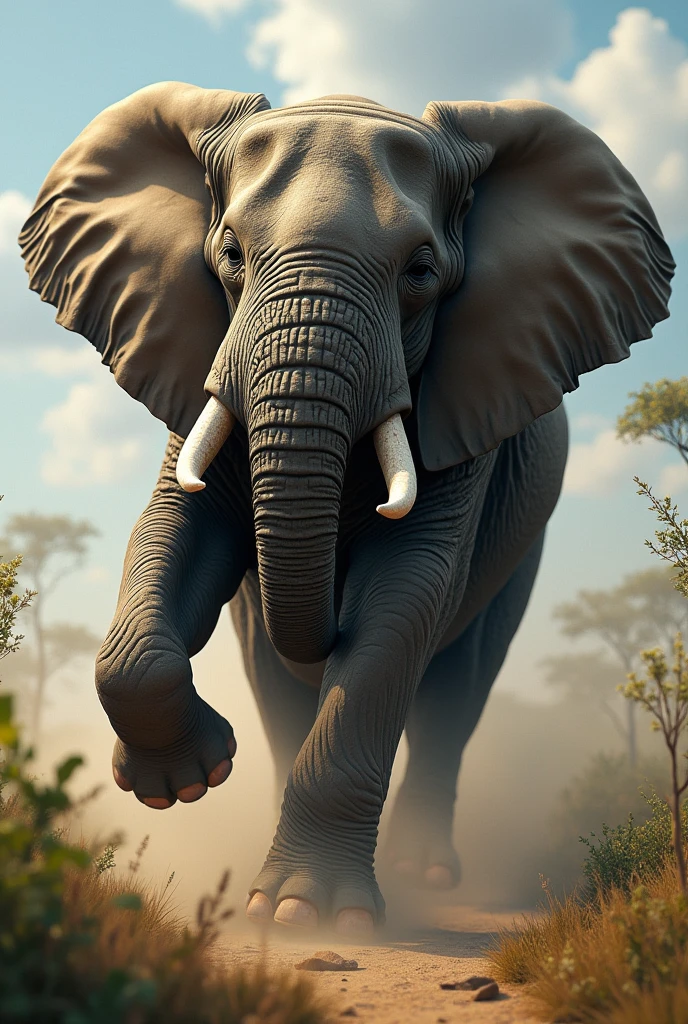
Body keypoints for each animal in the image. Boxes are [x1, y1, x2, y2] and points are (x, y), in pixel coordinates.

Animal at [20, 82, 673, 935]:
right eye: (230, 254)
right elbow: (174, 531)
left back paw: (421, 874)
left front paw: (307, 912)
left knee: (456, 687)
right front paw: (189, 780)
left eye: (421, 271)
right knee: (274, 681)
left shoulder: (467, 410)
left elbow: (405, 591)